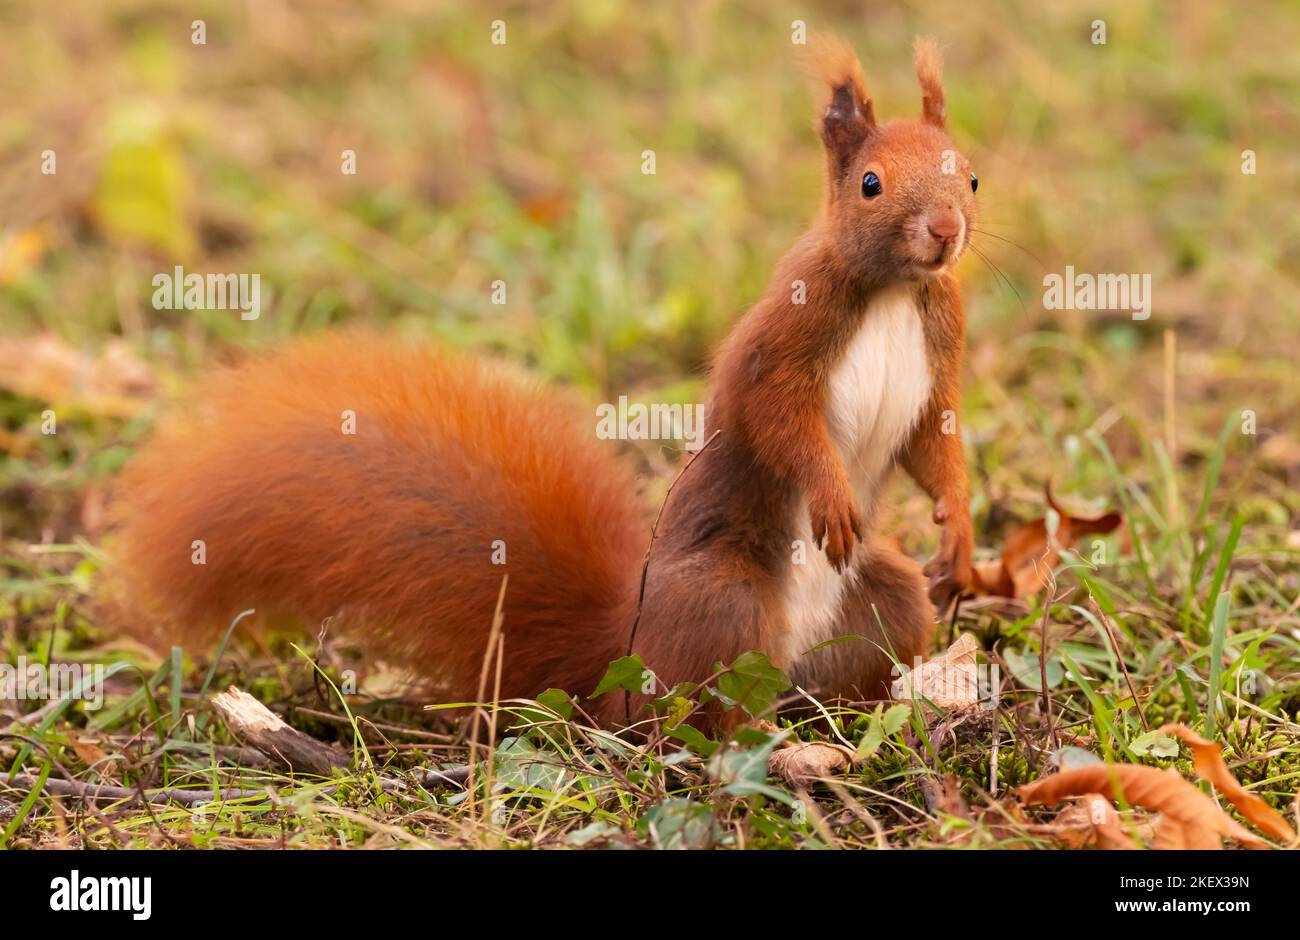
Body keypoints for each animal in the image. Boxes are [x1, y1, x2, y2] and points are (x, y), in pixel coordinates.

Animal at [106, 35, 976, 727]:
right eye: (869, 183)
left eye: (969, 177)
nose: (945, 233)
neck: (890, 291)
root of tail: (619, 657)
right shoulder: (784, 339)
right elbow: (778, 418)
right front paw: (831, 496)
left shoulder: (942, 347)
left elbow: (934, 437)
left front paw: (960, 532)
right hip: (721, 602)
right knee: (681, 721)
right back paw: (747, 746)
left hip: (883, 601)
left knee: (860, 645)